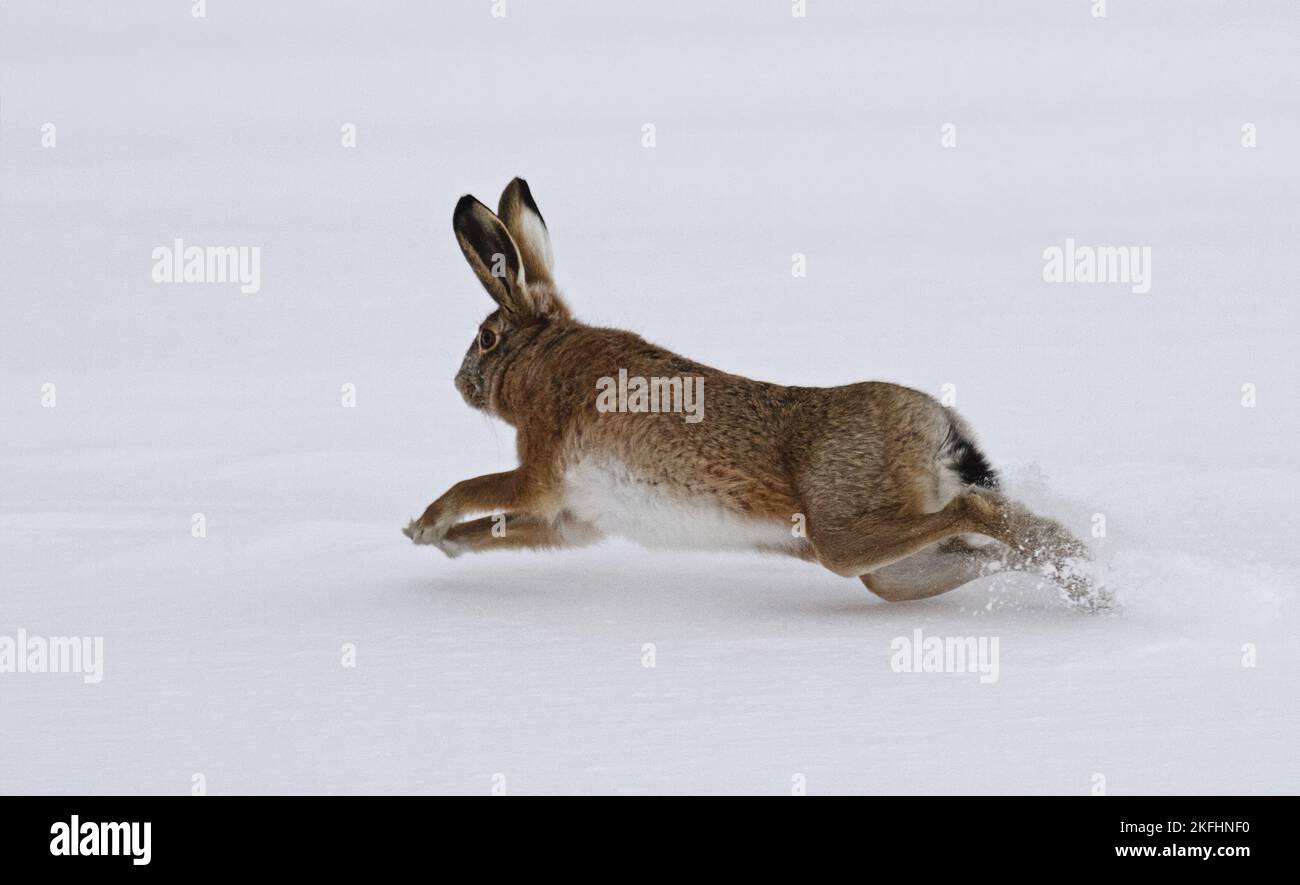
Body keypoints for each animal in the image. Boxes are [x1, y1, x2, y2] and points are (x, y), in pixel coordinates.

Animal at [404, 178, 1105, 609]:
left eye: (488, 338)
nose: (460, 383)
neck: (543, 357)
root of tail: (937, 429)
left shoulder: (543, 471)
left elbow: (483, 488)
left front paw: (426, 523)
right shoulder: (573, 518)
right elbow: (506, 527)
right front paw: (438, 542)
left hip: (843, 534)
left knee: (977, 513)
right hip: (891, 572)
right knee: (991, 551)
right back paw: (1091, 585)